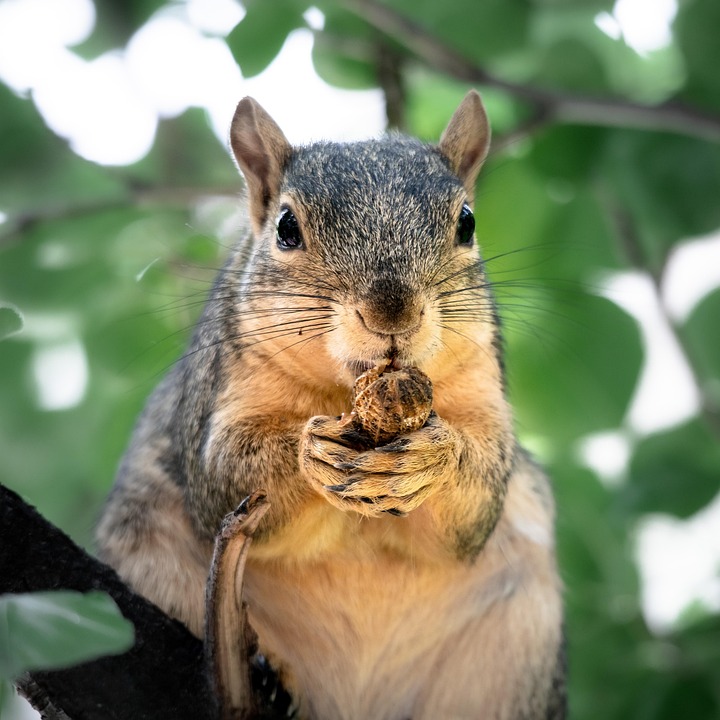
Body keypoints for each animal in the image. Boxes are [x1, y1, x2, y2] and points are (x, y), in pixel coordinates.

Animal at [96, 90, 566, 720]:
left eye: (467, 223)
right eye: (286, 228)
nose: (391, 312)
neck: (349, 391)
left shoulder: (482, 388)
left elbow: (473, 512)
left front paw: (433, 458)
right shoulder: (217, 394)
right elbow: (222, 475)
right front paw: (308, 450)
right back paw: (267, 677)